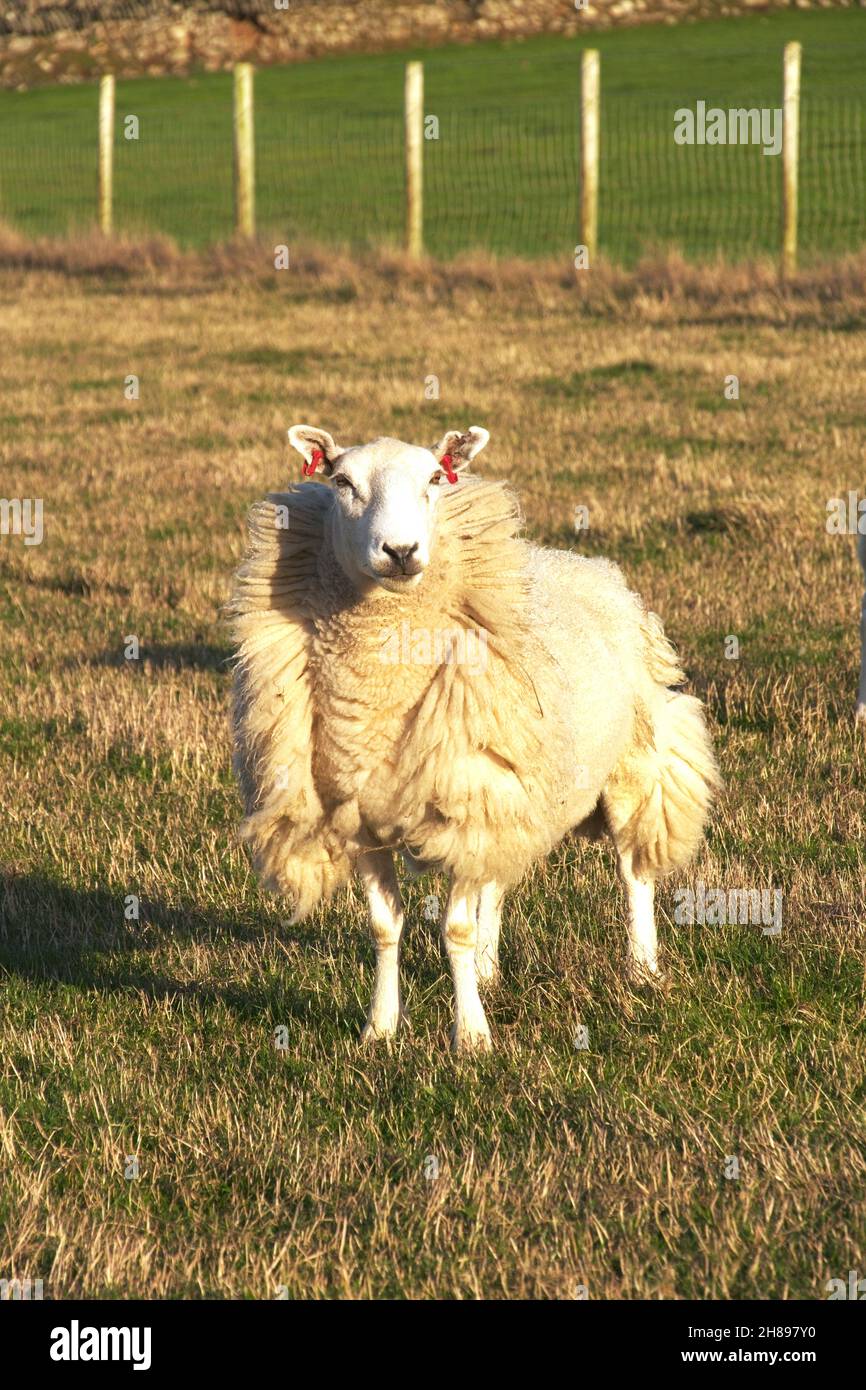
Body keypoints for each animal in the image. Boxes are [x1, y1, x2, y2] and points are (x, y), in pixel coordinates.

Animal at [229, 425, 720, 1052]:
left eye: (435, 479)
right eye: (341, 482)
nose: (400, 552)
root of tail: (585, 563)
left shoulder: (464, 809)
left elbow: (456, 930)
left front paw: (471, 1037)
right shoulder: (364, 821)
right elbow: (384, 926)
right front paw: (379, 1030)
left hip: (633, 760)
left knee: (634, 868)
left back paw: (642, 968)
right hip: (507, 790)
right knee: (496, 877)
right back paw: (488, 969)